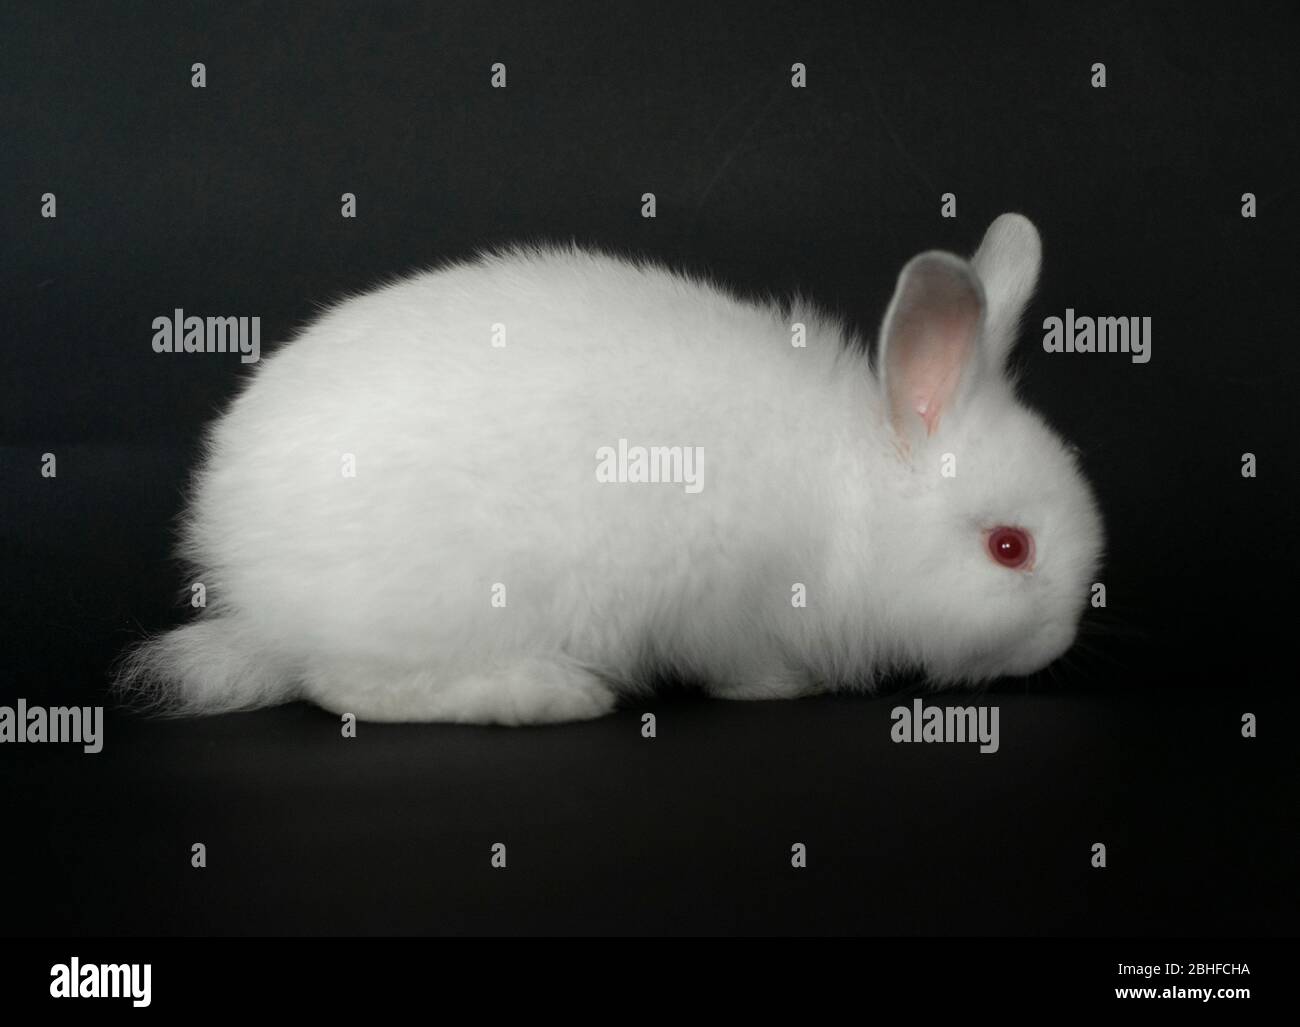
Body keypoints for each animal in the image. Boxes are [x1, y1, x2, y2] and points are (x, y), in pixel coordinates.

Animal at [117, 213, 1103, 725]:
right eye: (1009, 548)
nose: (1060, 641)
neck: (855, 495)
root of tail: (252, 589)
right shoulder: (739, 608)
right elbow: (748, 664)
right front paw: (787, 688)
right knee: (344, 686)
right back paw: (550, 693)